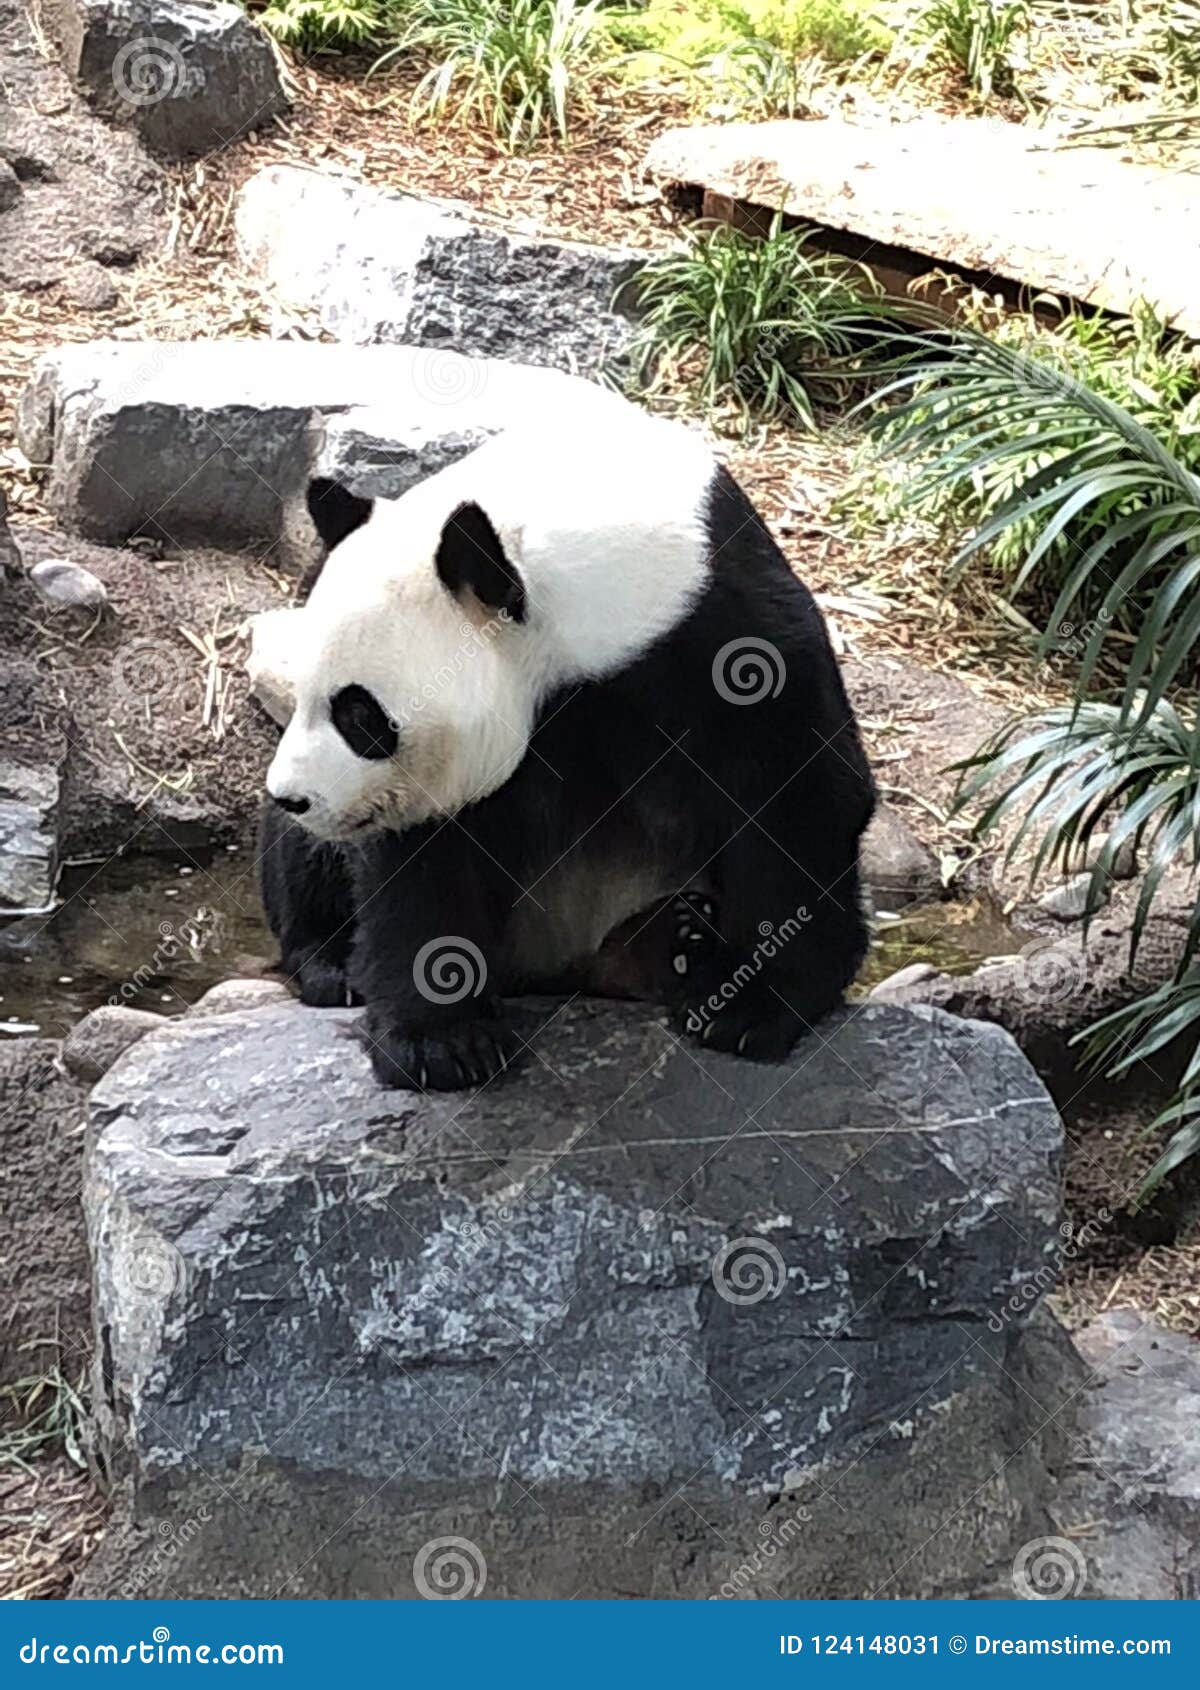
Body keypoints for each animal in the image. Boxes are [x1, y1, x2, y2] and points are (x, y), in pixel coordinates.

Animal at [260, 409, 875, 1092]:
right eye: (301, 691)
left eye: (360, 716)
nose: (293, 797)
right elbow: (422, 862)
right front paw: (443, 1044)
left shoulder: (727, 636)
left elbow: (792, 799)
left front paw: (748, 1008)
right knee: (304, 860)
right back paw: (333, 964)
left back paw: (677, 942)